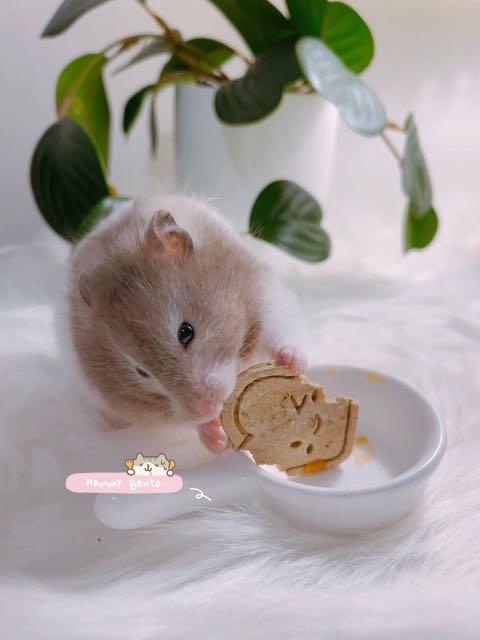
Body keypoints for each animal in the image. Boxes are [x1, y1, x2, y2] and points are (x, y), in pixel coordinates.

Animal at [66, 195, 306, 454]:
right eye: (141, 372)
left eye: (186, 332)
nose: (207, 409)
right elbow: (181, 421)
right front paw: (216, 438)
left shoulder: (268, 297)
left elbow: (278, 334)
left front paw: (293, 363)